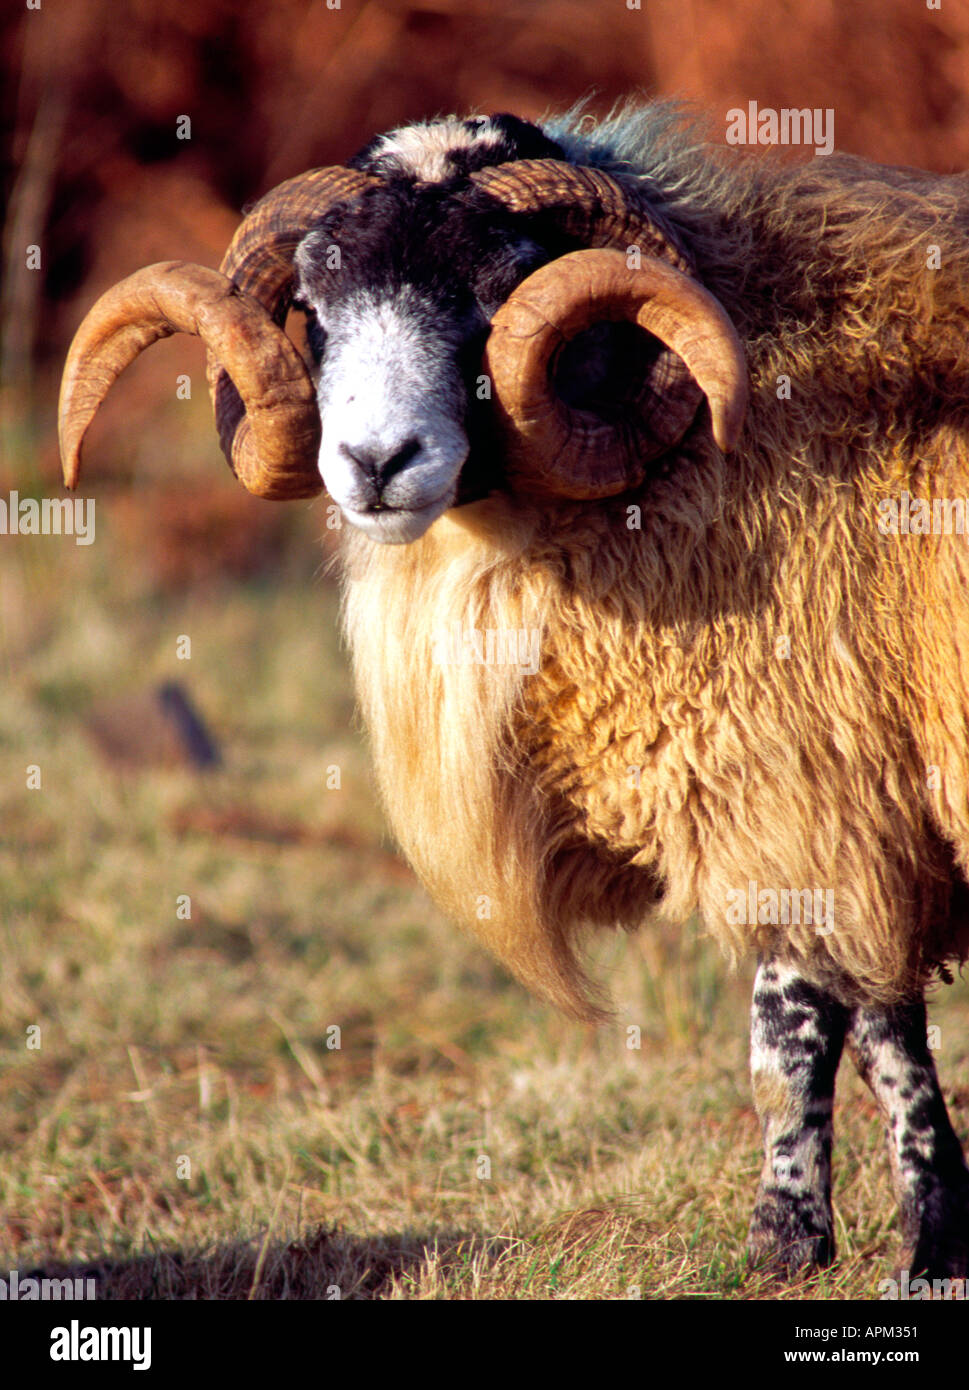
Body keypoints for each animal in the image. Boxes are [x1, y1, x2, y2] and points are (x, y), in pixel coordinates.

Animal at [58, 102, 969, 1282]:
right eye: (316, 303)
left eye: (497, 289)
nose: (375, 461)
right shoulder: (868, 800)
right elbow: (889, 1032)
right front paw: (932, 1234)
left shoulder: (794, 785)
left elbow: (796, 1033)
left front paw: (788, 1245)